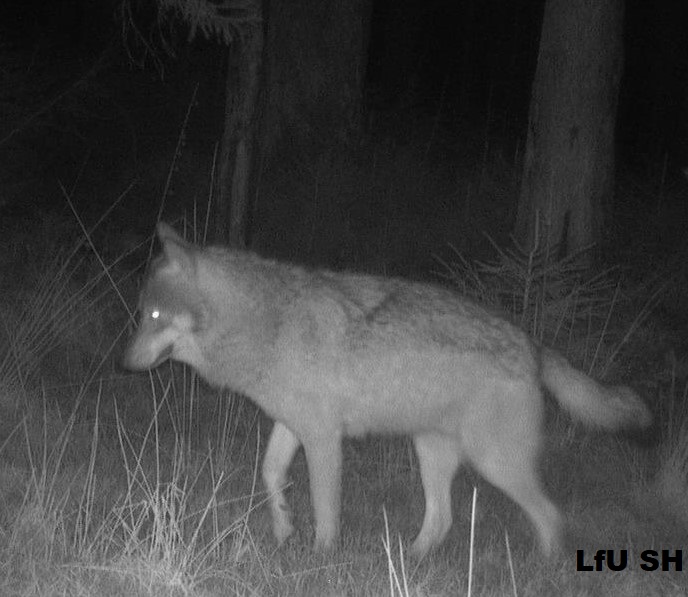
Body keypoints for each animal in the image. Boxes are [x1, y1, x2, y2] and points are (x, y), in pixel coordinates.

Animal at [123, 222, 651, 557]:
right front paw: (283, 528)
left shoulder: (323, 438)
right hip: (432, 453)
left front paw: (322, 556)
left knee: (551, 517)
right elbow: (271, 475)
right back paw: (409, 559)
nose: (122, 363)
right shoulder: (292, 425)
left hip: (494, 463)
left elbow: (325, 506)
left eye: (153, 315)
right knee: (443, 520)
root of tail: (534, 345)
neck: (265, 324)